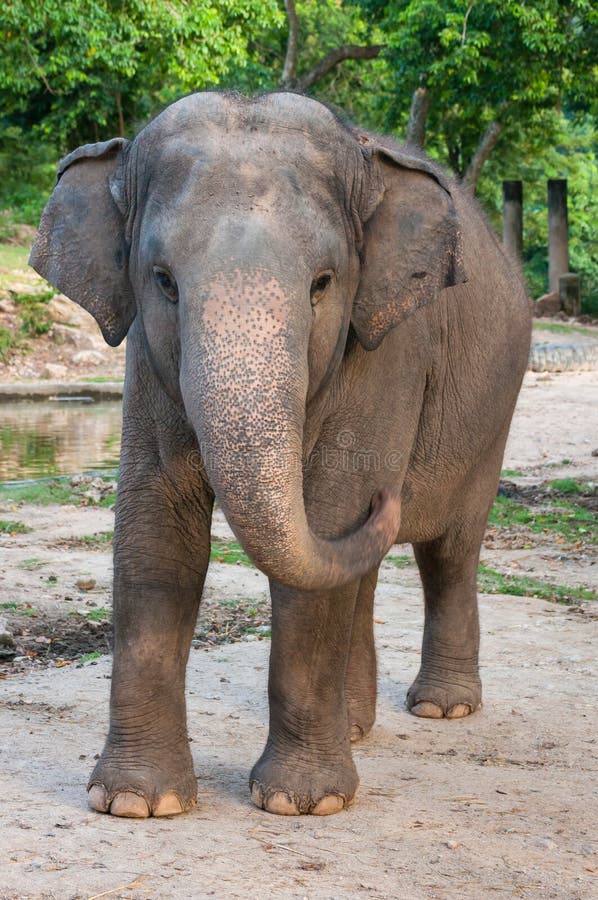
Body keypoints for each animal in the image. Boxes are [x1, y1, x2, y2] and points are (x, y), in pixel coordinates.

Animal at [30, 90, 531, 819]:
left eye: (323, 284)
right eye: (164, 282)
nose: (390, 496)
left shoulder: (387, 347)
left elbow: (327, 513)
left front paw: (303, 804)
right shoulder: (148, 362)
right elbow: (156, 531)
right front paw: (136, 804)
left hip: (495, 410)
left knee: (447, 551)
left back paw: (442, 709)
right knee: (362, 564)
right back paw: (357, 725)